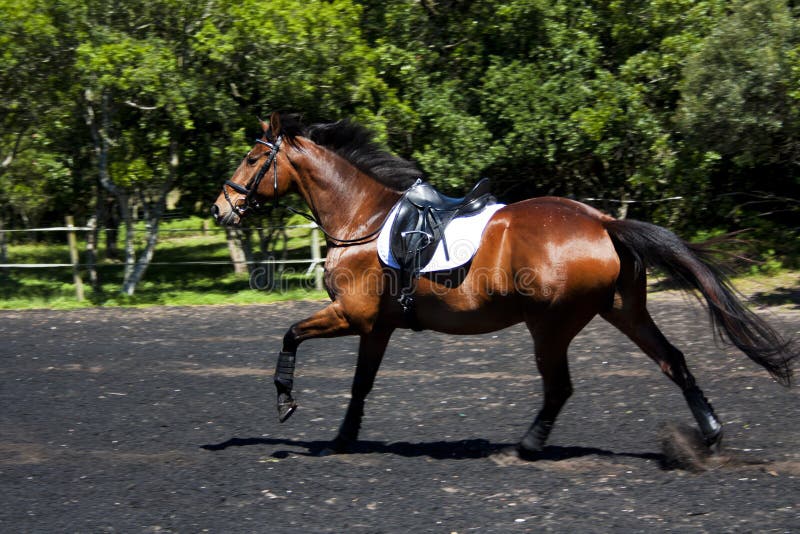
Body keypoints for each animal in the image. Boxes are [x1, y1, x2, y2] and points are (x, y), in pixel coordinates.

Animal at [211, 112, 796, 459]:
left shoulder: (353, 317)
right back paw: (711, 433)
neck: (364, 221)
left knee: (560, 387)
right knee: (672, 360)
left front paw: (286, 402)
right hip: (623, 311)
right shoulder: (376, 327)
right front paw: (344, 438)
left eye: (251, 157)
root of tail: (604, 222)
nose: (221, 209)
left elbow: (290, 334)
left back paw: (529, 444)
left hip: (551, 325)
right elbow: (360, 384)